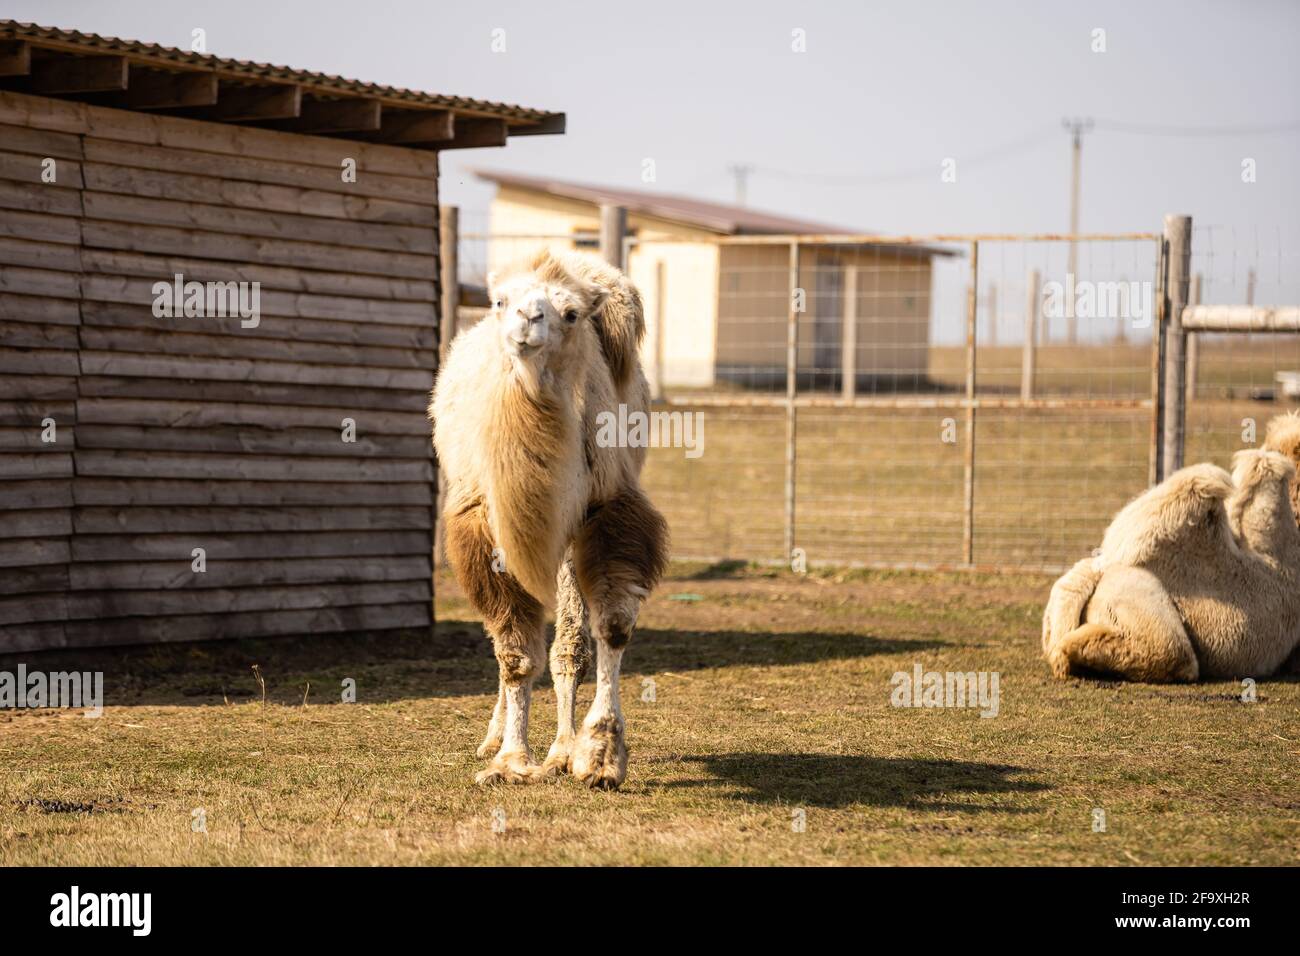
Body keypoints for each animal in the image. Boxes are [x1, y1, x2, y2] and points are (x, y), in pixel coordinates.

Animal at [430, 249, 668, 789]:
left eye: (572, 313)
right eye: (500, 301)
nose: (527, 319)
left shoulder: (605, 508)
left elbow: (609, 628)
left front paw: (599, 755)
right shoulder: (486, 525)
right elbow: (516, 653)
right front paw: (510, 761)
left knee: (569, 641)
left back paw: (561, 750)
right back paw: (496, 739)